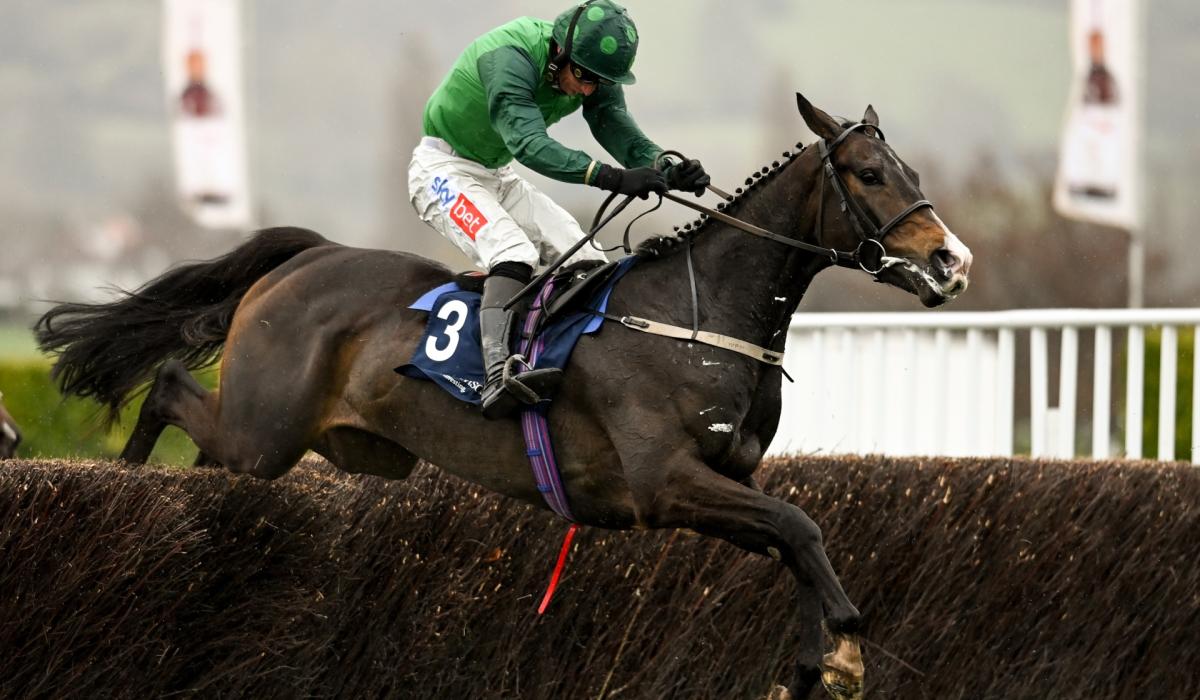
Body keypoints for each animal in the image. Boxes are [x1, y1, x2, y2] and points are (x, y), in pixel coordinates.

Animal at [35, 93, 971, 699]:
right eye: (868, 173)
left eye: (909, 167)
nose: (952, 260)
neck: (697, 315)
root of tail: (311, 254)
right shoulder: (664, 484)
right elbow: (799, 527)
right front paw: (844, 647)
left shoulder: (727, 480)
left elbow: (793, 539)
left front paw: (819, 661)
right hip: (266, 428)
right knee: (166, 385)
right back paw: (128, 478)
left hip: (316, 446)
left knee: (211, 454)